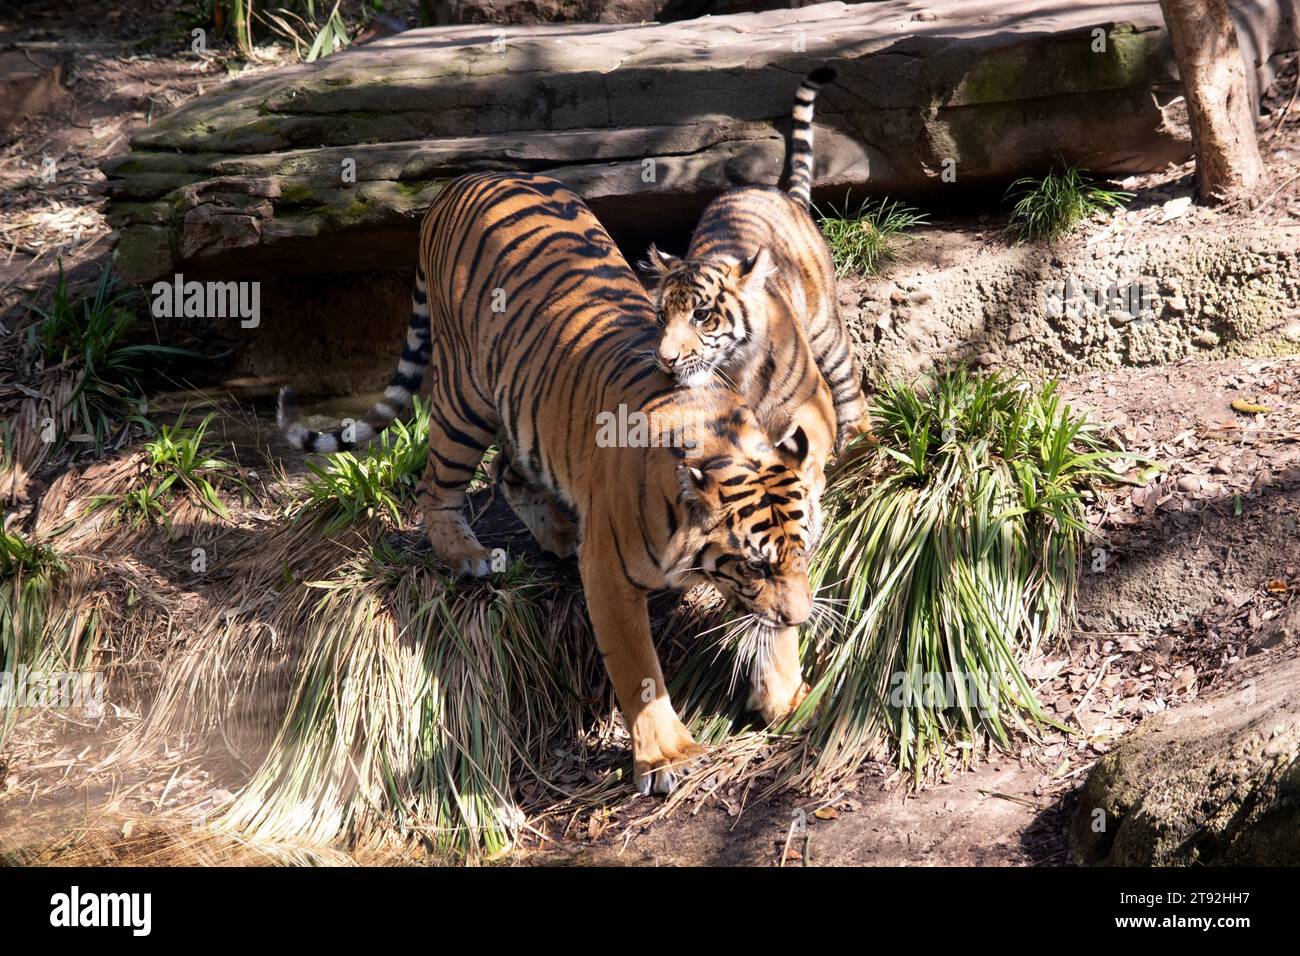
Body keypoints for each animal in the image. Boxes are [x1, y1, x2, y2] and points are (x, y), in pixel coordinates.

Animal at [277, 172, 819, 795]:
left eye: (804, 553)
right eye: (754, 564)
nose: (803, 616)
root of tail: (467, 178)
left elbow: (767, 630)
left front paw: (787, 694)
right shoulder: (608, 574)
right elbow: (638, 669)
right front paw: (666, 757)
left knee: (507, 469)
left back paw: (559, 533)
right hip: (465, 395)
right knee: (436, 488)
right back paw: (470, 556)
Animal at [643, 66, 869, 455]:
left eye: (701, 315)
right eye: (661, 316)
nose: (666, 360)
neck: (735, 371)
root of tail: (780, 193)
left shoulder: (812, 400)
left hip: (826, 330)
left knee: (848, 384)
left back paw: (861, 442)